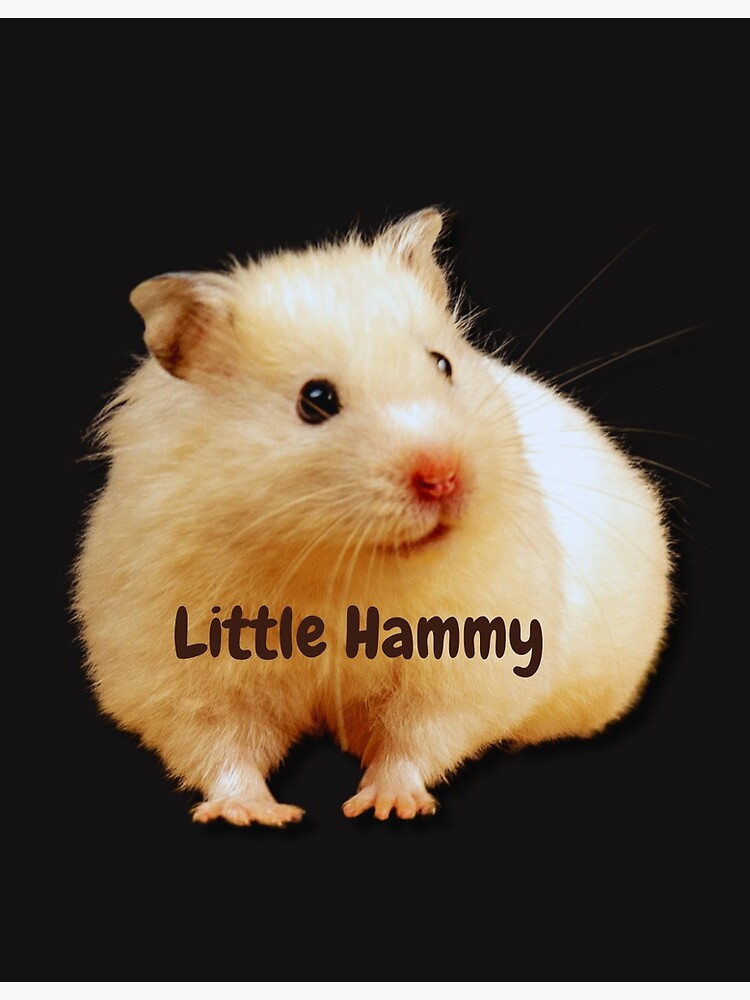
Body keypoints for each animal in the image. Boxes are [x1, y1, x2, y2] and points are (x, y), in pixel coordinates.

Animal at [73, 208, 672, 825]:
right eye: (315, 400)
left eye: (443, 364)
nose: (444, 477)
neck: (337, 567)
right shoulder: (181, 668)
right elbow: (221, 744)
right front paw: (258, 813)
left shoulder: (462, 668)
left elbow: (415, 739)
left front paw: (389, 804)